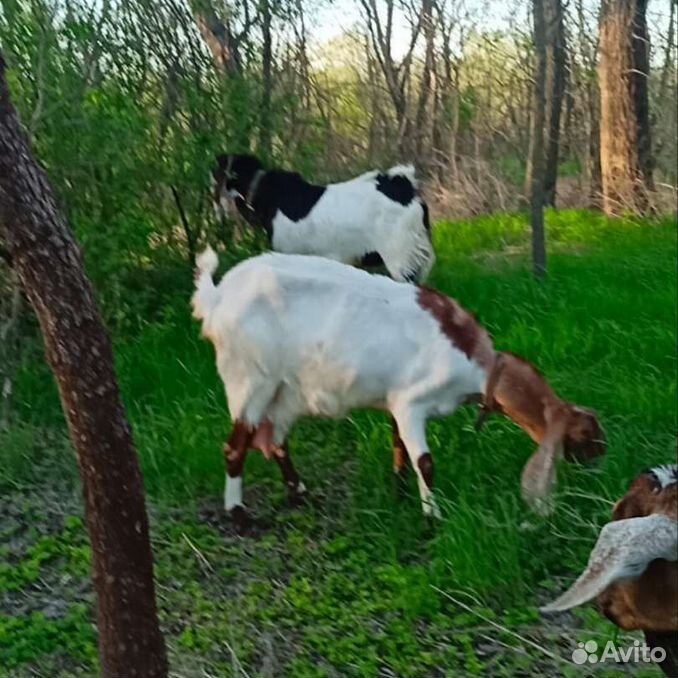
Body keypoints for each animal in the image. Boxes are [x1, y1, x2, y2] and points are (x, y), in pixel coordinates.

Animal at [192, 248, 604, 525]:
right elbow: (425, 462)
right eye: (586, 436)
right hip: (250, 380)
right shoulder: (411, 402)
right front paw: (432, 517)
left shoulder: (395, 402)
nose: (600, 463)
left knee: (275, 440)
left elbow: (399, 450)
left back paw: (300, 494)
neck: (479, 365)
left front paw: (400, 493)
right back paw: (238, 514)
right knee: (234, 446)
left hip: (284, 392)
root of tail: (218, 296)